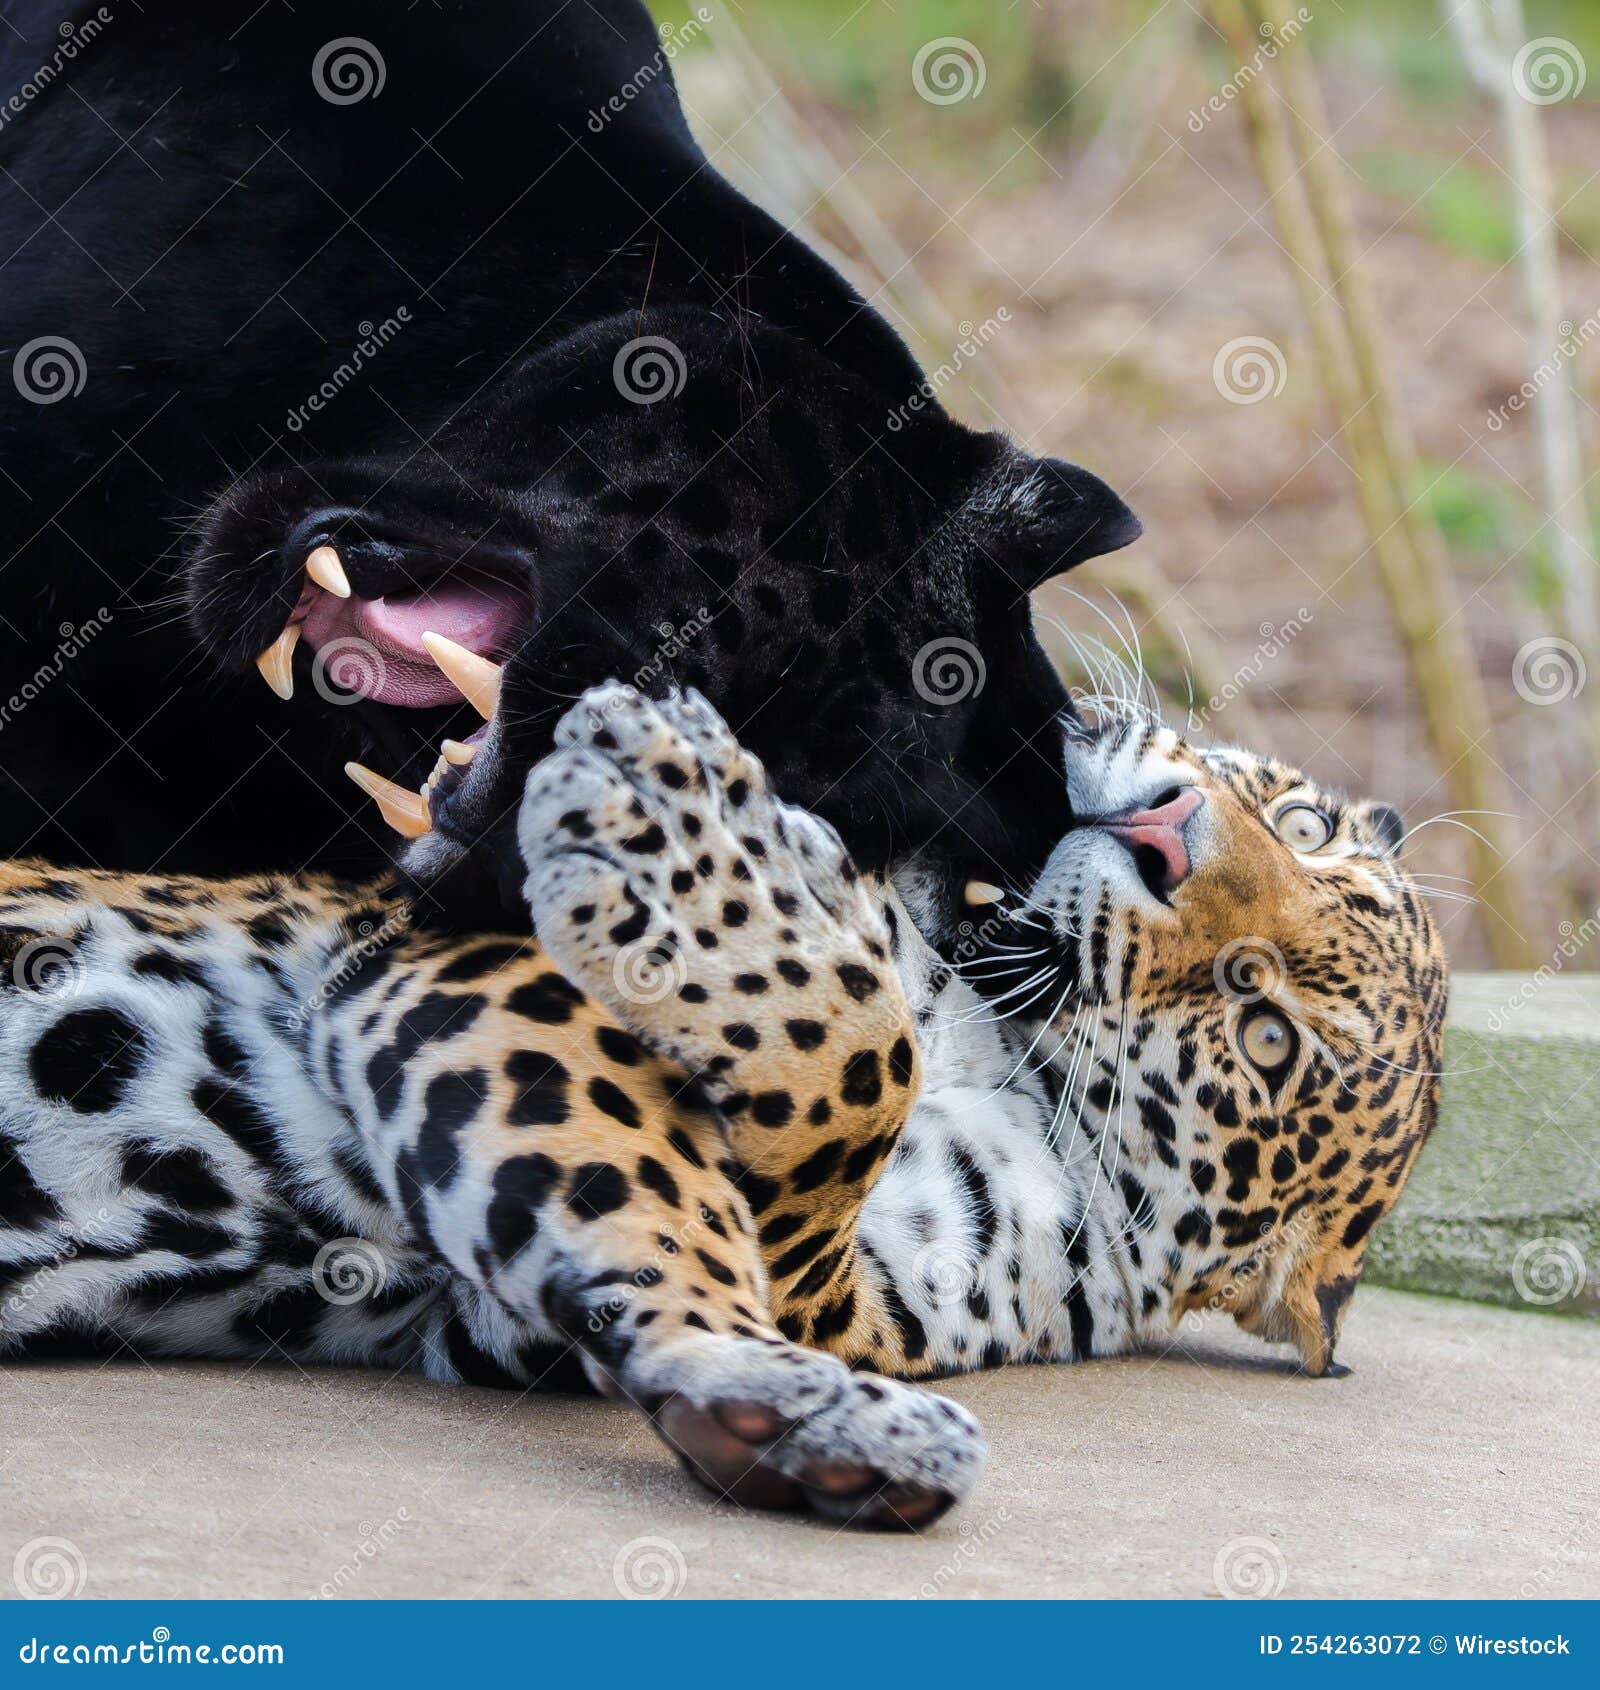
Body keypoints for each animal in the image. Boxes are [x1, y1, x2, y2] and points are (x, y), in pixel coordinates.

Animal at [0, 682, 1446, 1529]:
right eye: (1304, 822)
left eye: (1264, 1029)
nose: (1163, 829)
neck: (1013, 1065)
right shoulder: (459, 953)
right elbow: (855, 1028)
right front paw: (709, 829)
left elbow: (828, 1100)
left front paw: (795, 1409)